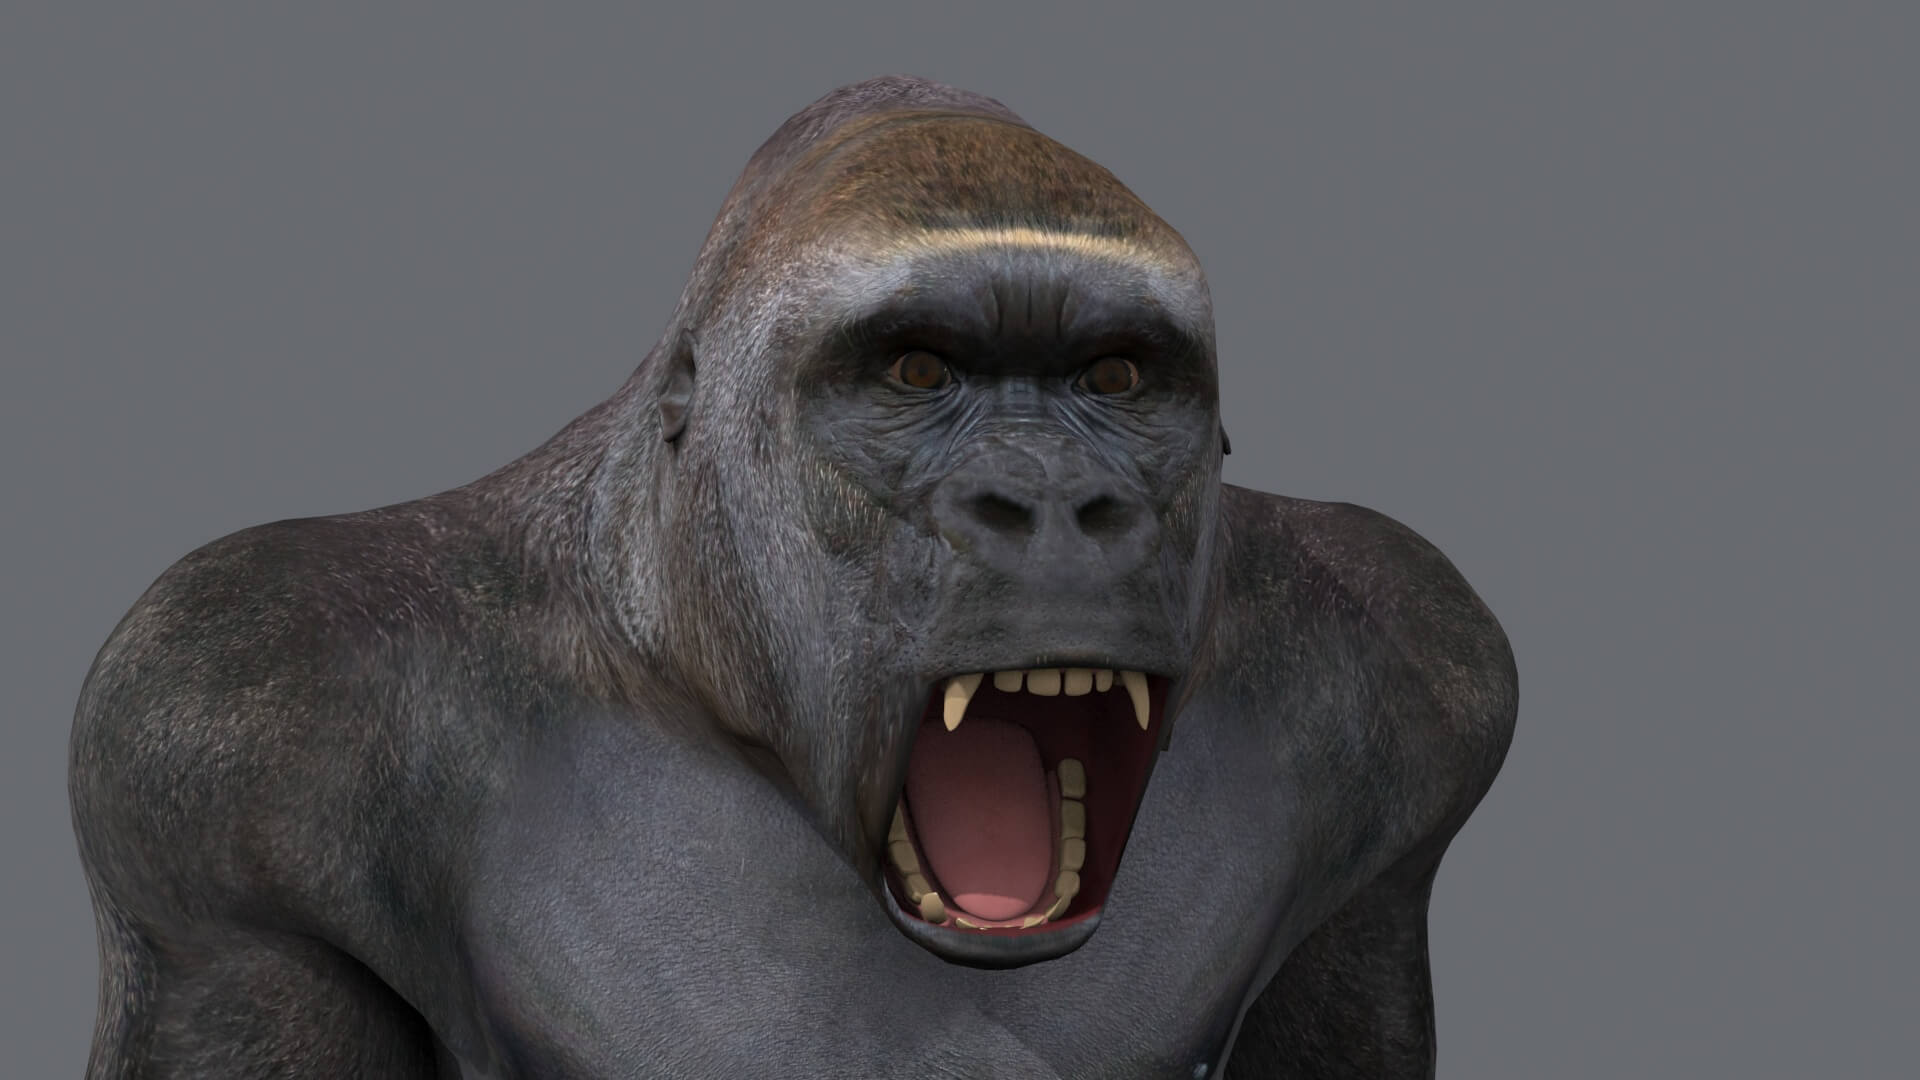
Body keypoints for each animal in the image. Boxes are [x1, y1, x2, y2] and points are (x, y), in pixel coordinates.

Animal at [69, 75, 1516, 1079]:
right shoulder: (222, 714)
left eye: (1116, 378)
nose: (1056, 500)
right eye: (918, 370)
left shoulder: (1414, 659)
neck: (672, 637)